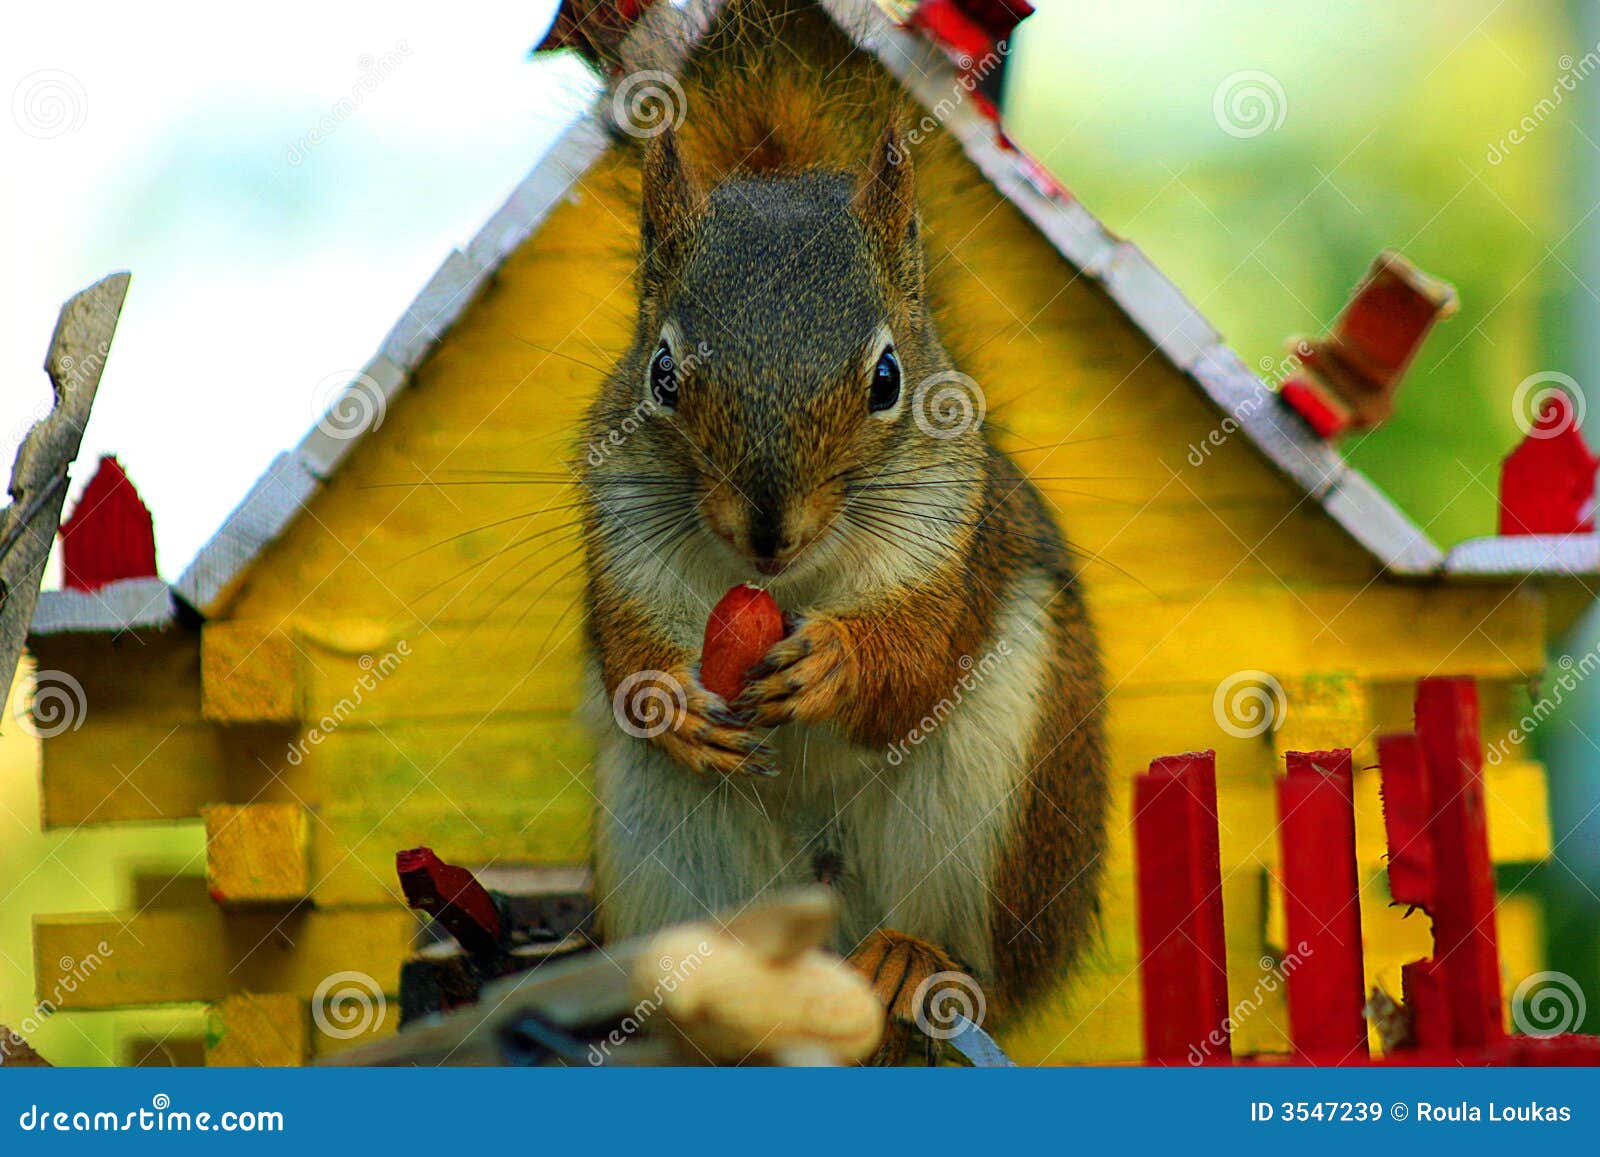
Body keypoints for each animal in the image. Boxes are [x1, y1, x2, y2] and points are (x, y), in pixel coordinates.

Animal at [577, 0, 1106, 1057]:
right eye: (661, 374)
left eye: (889, 378)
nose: (767, 532)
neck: (786, 586)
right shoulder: (619, 537)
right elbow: (623, 655)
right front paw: (672, 702)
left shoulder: (952, 547)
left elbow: (919, 663)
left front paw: (838, 662)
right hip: (664, 836)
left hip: (1000, 799)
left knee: (978, 965)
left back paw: (917, 960)